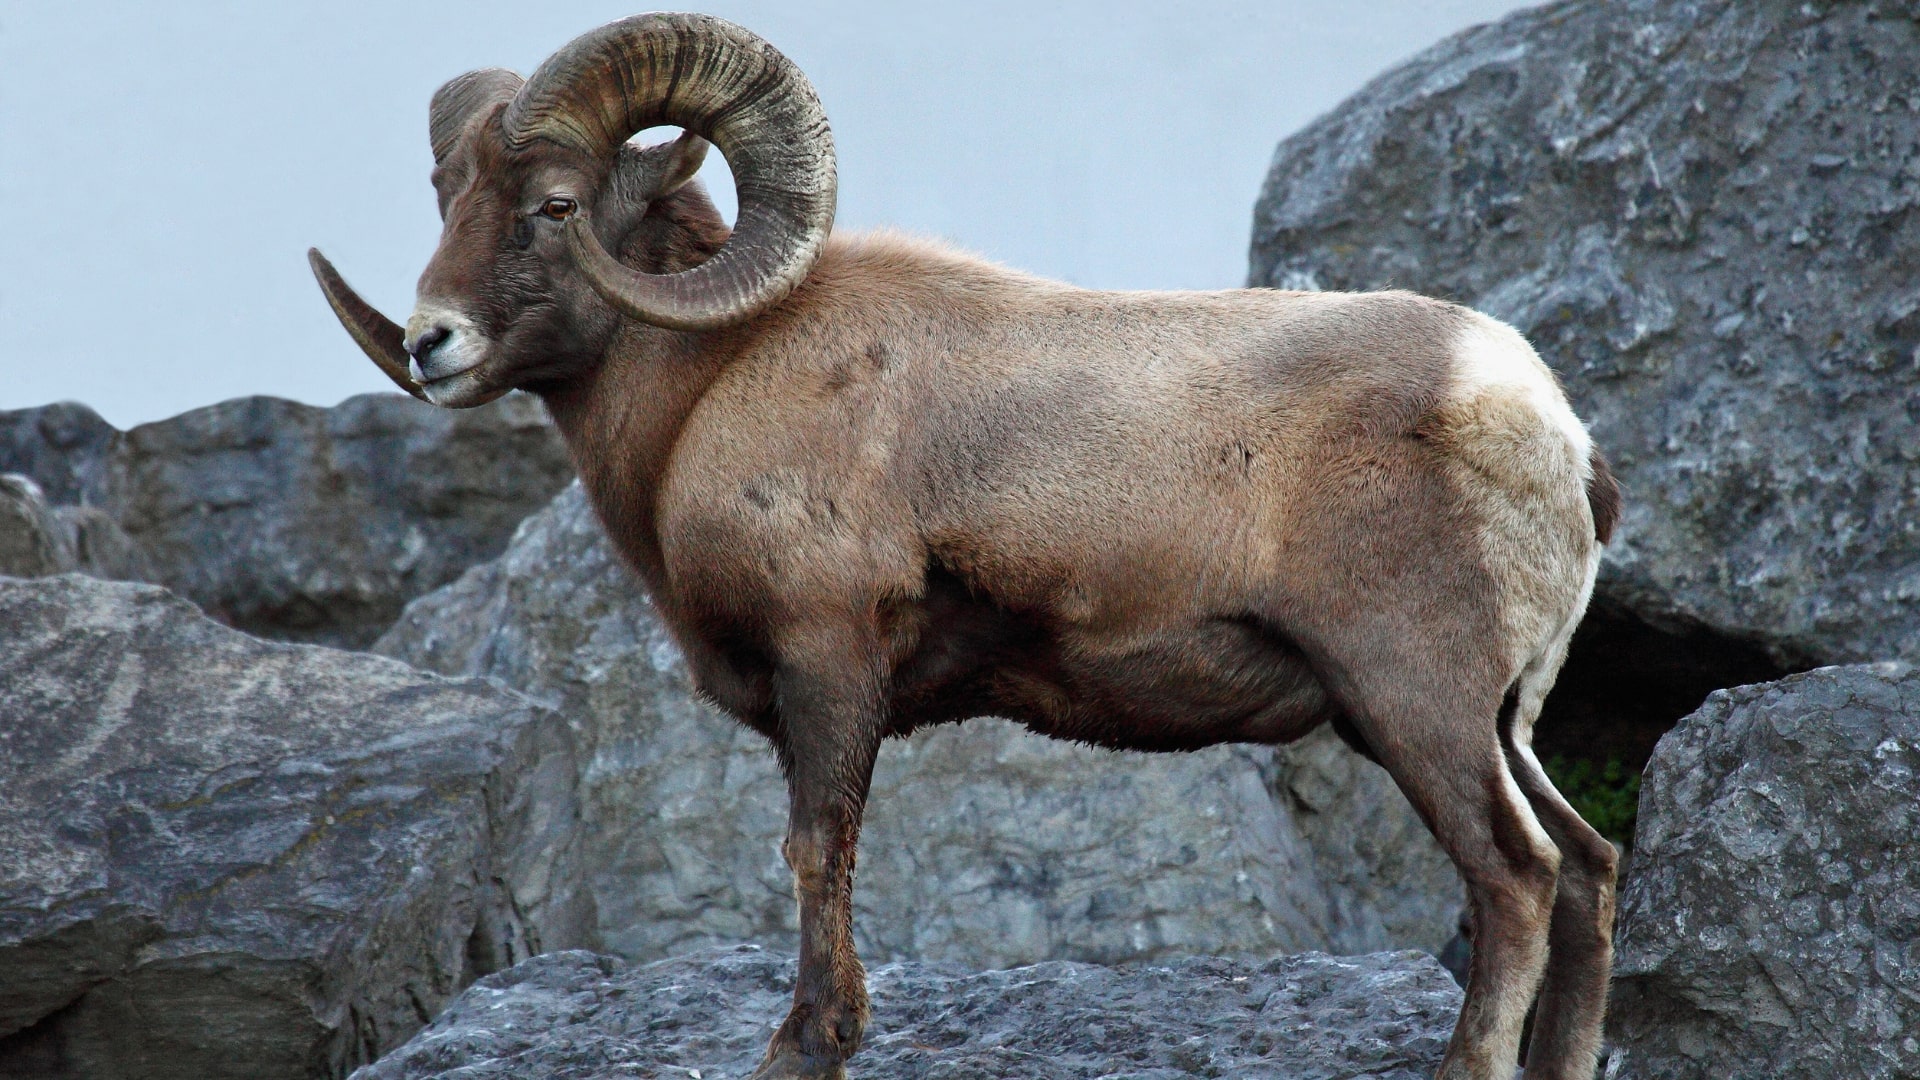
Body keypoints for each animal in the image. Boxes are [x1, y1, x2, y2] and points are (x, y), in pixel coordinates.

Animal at [309, 14, 1620, 1080]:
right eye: (451, 197)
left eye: (557, 206)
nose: (431, 342)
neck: (712, 385)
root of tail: (1547, 427)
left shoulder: (829, 664)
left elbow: (816, 850)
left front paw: (808, 1046)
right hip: (1492, 723)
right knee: (1590, 868)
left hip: (1417, 704)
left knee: (1519, 879)